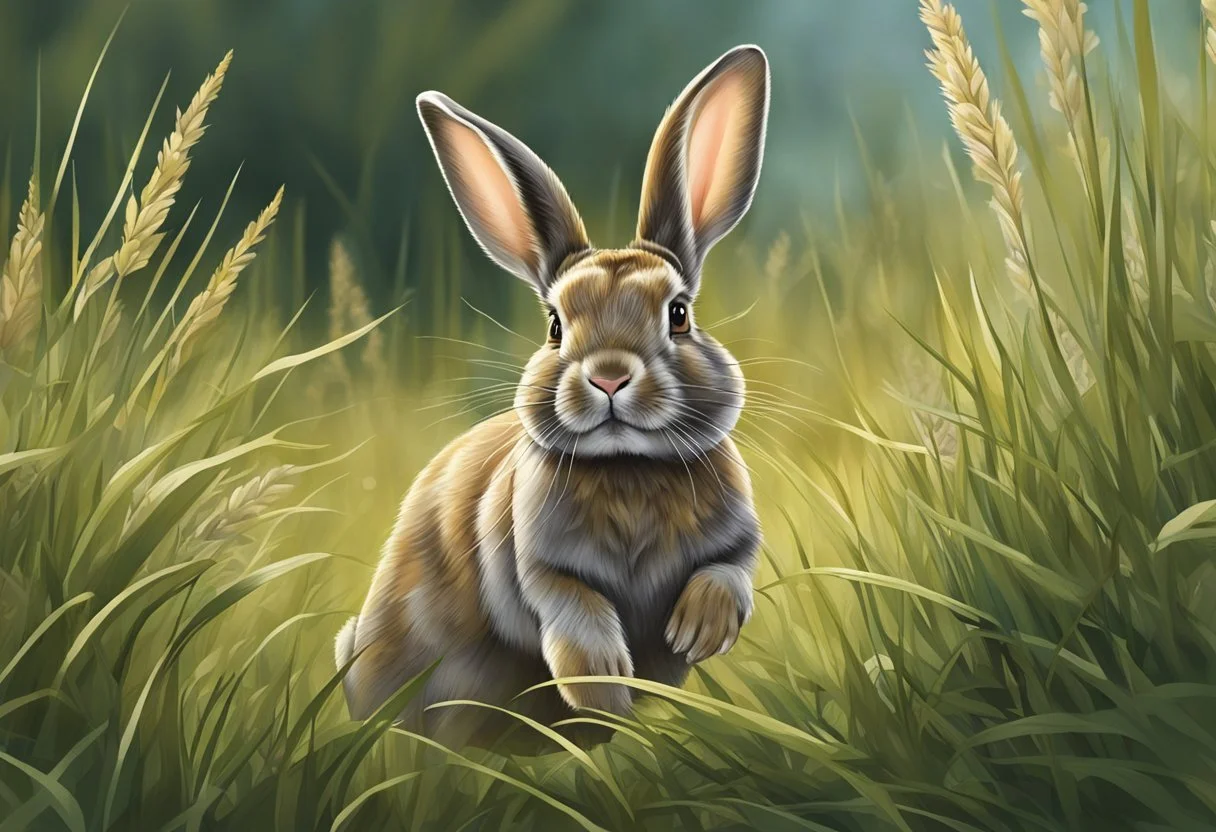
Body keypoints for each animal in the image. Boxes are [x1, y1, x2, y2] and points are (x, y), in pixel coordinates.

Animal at [336, 44, 768, 748]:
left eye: (678, 314)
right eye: (555, 325)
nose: (610, 377)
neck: (628, 469)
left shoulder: (737, 545)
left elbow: (729, 573)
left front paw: (693, 633)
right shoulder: (535, 564)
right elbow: (573, 609)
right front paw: (603, 692)